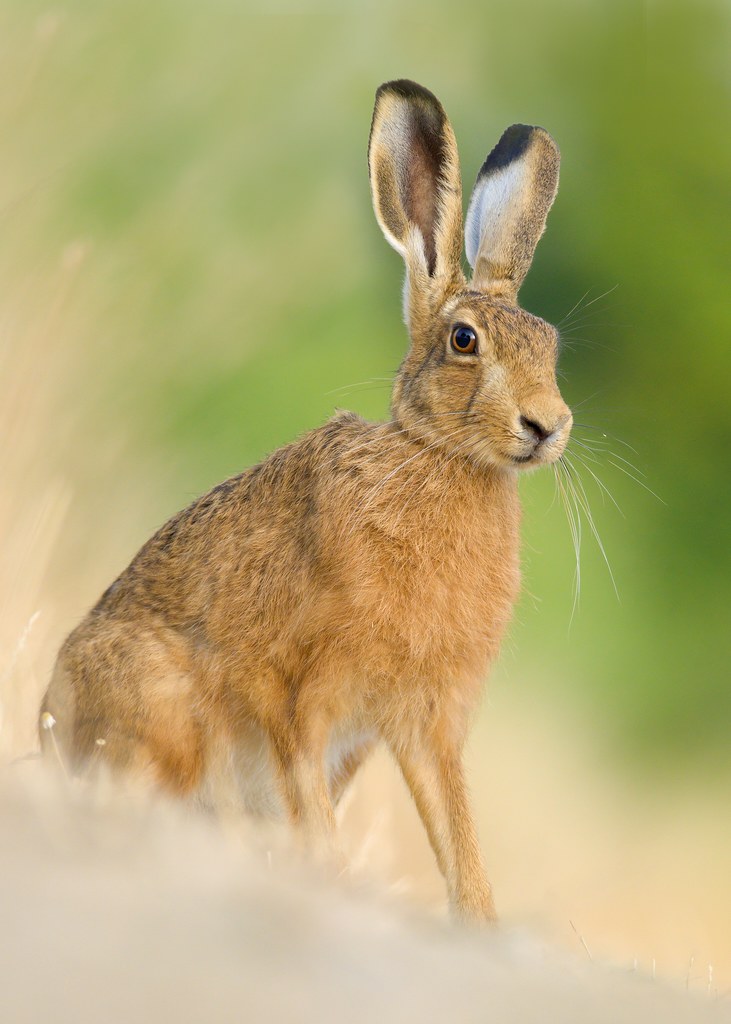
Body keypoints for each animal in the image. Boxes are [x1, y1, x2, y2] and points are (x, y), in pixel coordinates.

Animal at [40, 79, 572, 924]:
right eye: (463, 341)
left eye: (550, 347)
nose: (548, 426)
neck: (436, 457)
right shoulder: (300, 692)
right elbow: (318, 818)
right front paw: (332, 884)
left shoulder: (423, 722)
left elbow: (456, 834)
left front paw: (480, 923)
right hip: (162, 704)